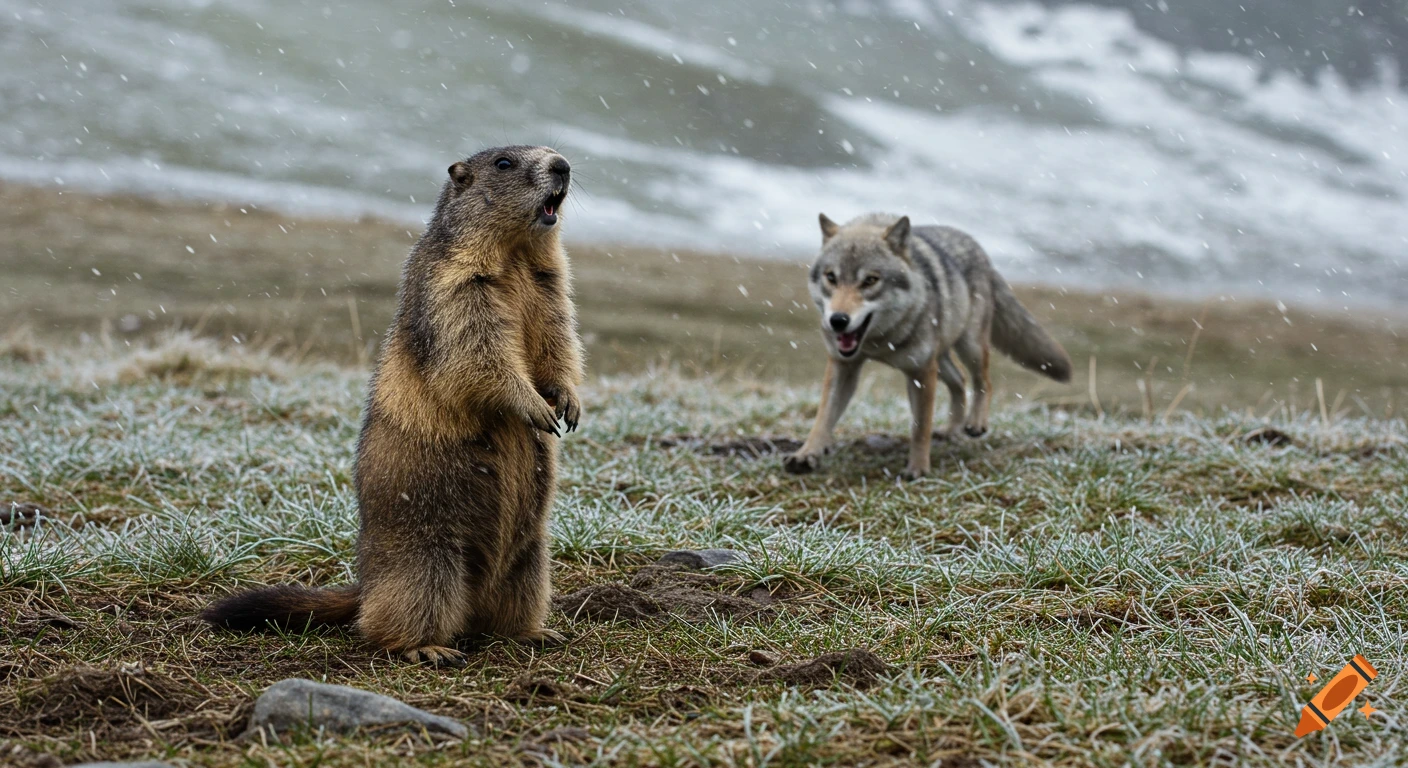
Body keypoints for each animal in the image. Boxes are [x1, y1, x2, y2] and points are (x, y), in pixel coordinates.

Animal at [783, 213, 1071, 479]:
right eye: (831, 277)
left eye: (870, 280)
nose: (838, 320)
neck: (880, 342)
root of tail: (980, 250)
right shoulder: (844, 365)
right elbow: (823, 417)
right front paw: (806, 454)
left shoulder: (920, 374)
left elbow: (920, 427)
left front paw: (918, 469)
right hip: (940, 361)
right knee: (960, 381)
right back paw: (952, 430)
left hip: (968, 348)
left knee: (983, 382)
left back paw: (975, 424)